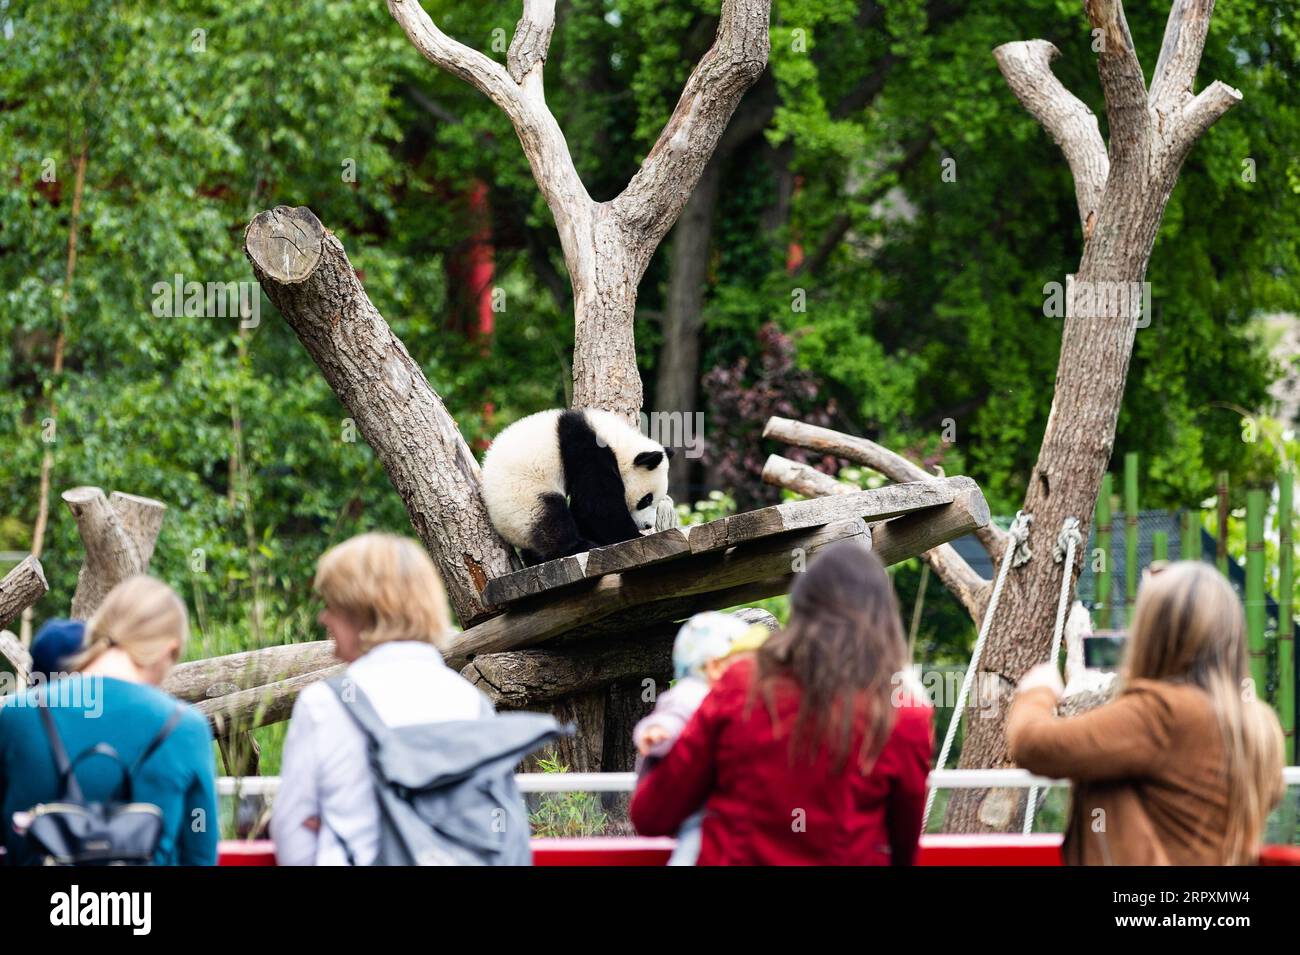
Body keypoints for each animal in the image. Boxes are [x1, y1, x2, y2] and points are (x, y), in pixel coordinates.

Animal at [481, 408, 675, 566]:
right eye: (647, 499)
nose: (648, 525)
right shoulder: (586, 451)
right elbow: (598, 505)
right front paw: (632, 535)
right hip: (523, 499)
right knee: (551, 519)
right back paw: (579, 546)